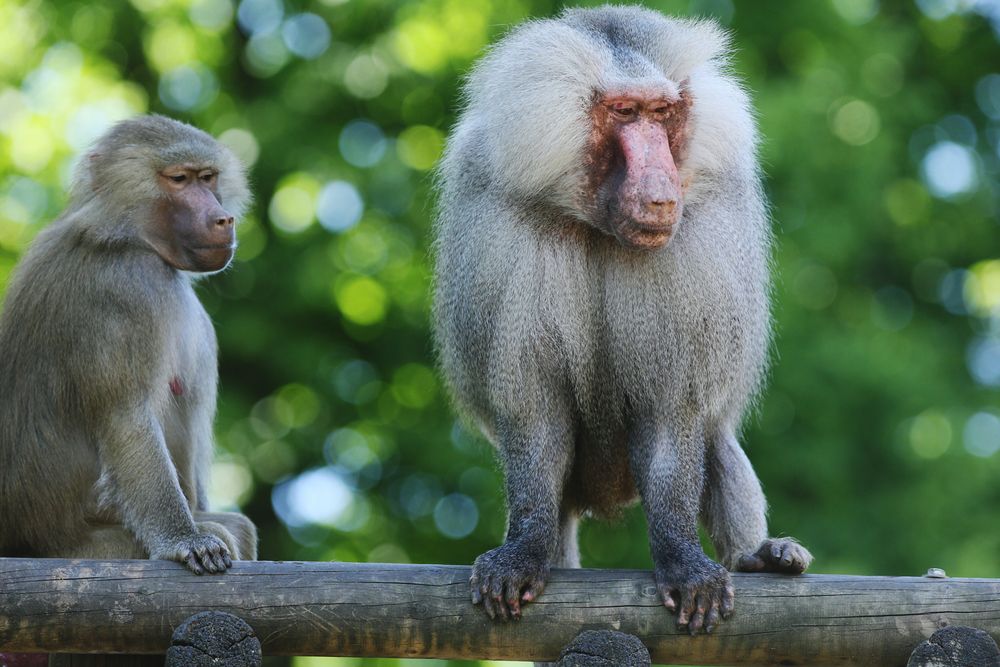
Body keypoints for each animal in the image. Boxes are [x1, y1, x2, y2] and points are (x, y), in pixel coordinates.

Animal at [0, 115, 257, 575]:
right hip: (94, 548)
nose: (223, 219)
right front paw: (186, 540)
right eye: (178, 179)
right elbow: (127, 419)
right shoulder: (124, 290)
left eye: (208, 177)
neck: (125, 235)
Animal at [432, 6, 812, 635]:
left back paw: (758, 557)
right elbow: (533, 406)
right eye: (625, 112)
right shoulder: (499, 219)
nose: (661, 196)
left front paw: (686, 567)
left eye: (663, 112)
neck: (598, 226)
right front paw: (518, 559)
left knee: (716, 441)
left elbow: (675, 413)